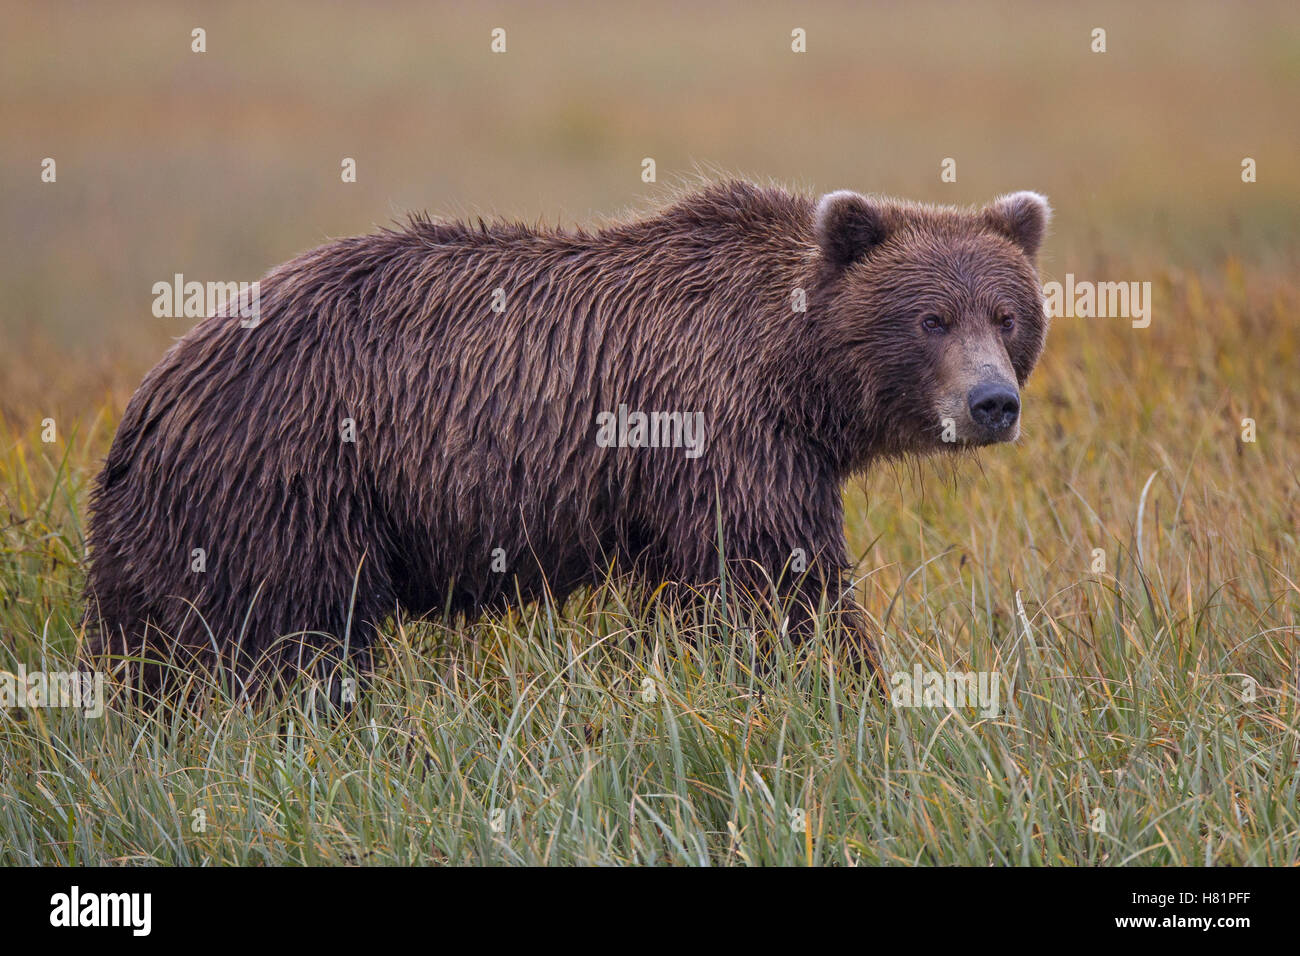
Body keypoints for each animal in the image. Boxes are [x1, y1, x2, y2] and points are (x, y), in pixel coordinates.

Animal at [83, 180, 1050, 693]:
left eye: (1008, 315)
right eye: (931, 318)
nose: (993, 402)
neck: (797, 374)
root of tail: (155, 392)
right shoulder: (725, 433)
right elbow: (776, 581)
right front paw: (847, 687)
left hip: (168, 535)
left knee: (153, 654)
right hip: (290, 480)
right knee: (293, 642)